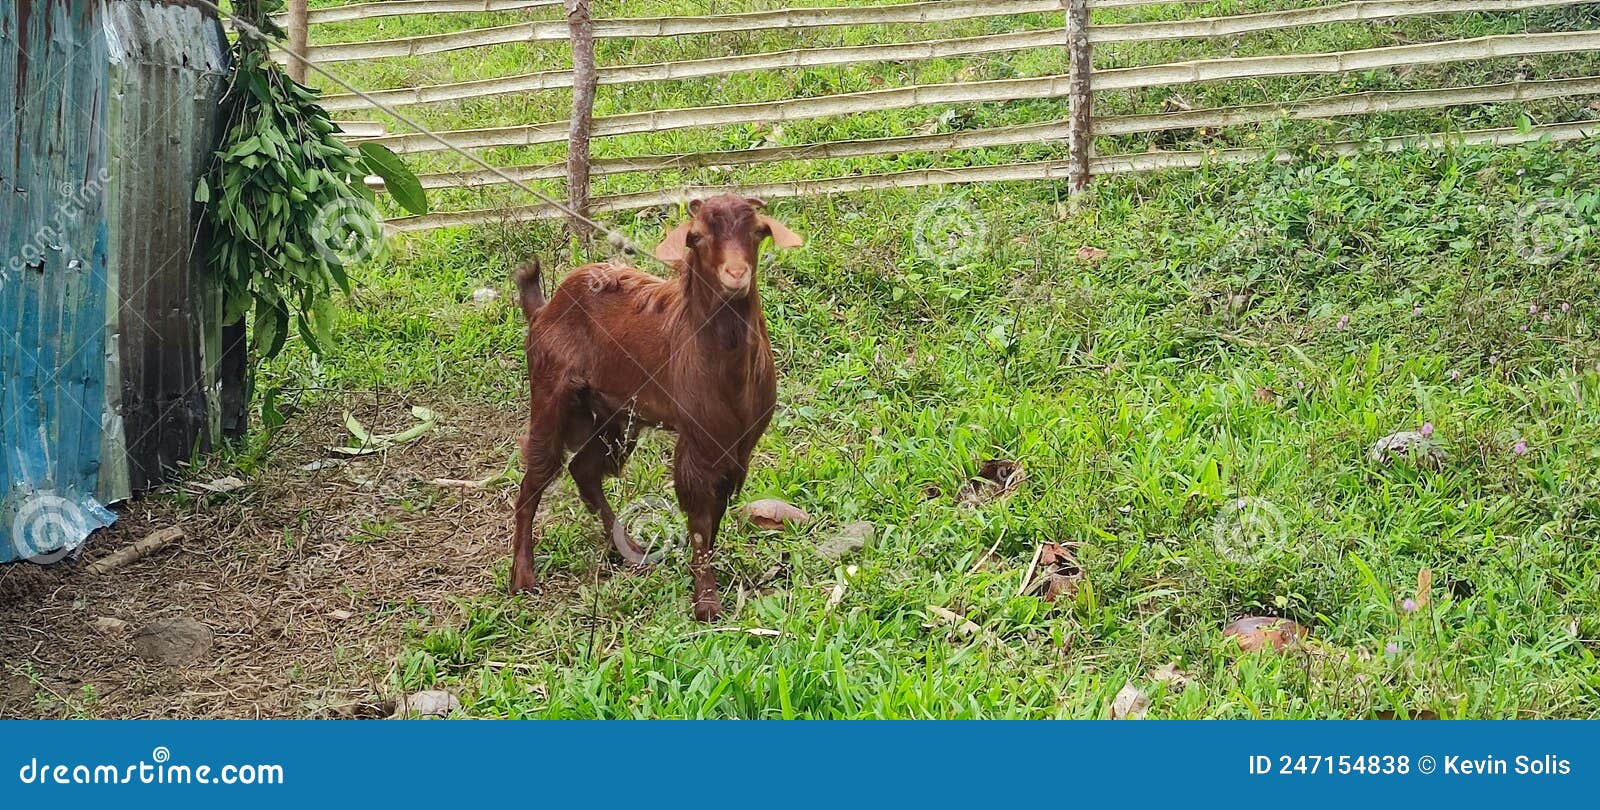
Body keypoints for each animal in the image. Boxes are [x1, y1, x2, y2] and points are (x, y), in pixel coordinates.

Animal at [510, 194, 804, 622]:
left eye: (757, 233)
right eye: (697, 237)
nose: (736, 274)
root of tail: (543, 309)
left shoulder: (739, 444)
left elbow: (716, 511)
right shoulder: (697, 437)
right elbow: (699, 515)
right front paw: (706, 602)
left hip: (612, 413)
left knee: (585, 469)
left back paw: (626, 548)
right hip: (551, 394)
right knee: (536, 474)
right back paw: (523, 576)